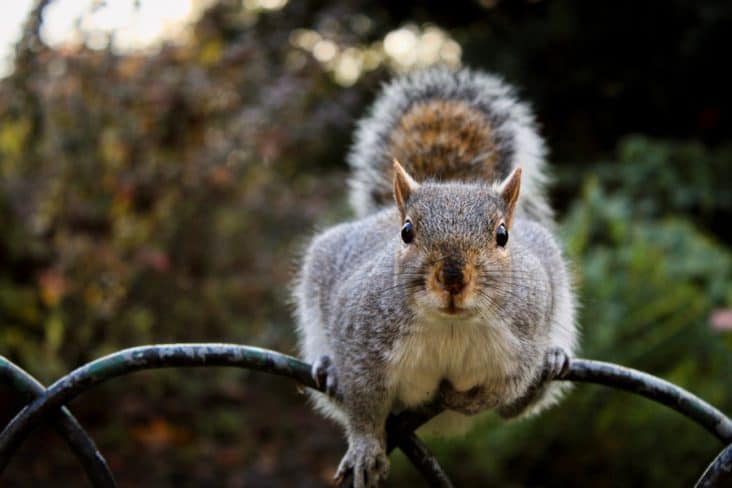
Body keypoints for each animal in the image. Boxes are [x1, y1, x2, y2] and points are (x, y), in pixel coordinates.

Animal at [294, 66, 578, 487]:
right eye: (406, 231)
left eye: (502, 235)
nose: (453, 278)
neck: (450, 324)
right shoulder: (360, 343)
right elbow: (363, 406)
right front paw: (365, 448)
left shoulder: (523, 340)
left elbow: (499, 394)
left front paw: (463, 398)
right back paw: (327, 367)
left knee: (515, 408)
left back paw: (553, 361)